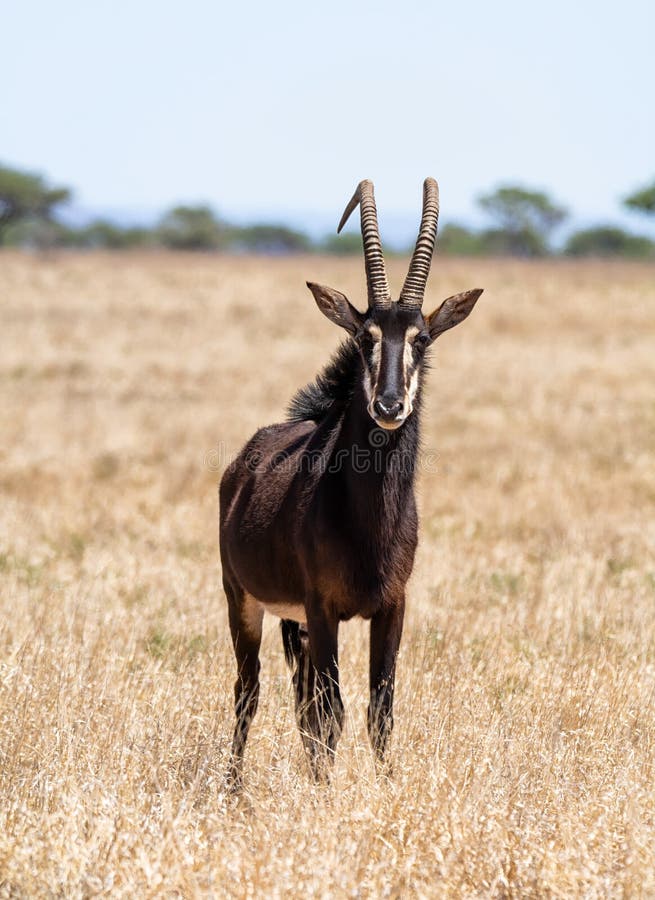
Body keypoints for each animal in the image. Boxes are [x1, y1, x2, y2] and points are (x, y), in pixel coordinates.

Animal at [220, 178, 482, 788]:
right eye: (365, 337)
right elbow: (330, 711)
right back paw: (233, 786)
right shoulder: (323, 608)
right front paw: (325, 792)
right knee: (250, 691)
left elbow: (378, 709)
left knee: (296, 699)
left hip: (295, 624)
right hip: (243, 600)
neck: (370, 522)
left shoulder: (392, 607)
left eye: (422, 338)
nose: (388, 406)